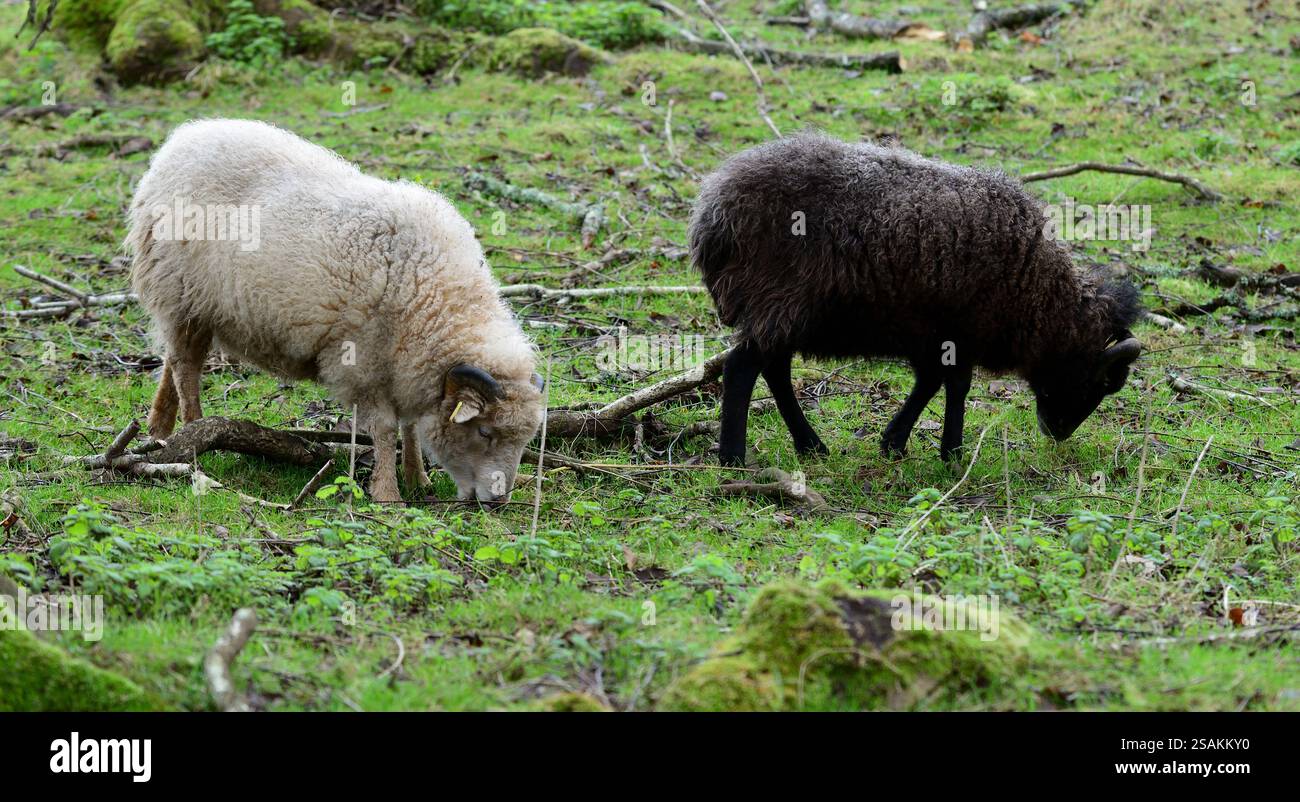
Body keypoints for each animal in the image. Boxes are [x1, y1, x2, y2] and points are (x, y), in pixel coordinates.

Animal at [126, 119, 544, 504]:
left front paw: (418, 478)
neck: (434, 294)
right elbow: (385, 429)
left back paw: (160, 432)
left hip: (193, 305)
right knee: (187, 369)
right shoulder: (364, 363)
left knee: (174, 359)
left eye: (524, 439)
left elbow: (410, 426)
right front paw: (388, 493)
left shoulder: (406, 366)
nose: (499, 499)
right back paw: (198, 431)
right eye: (485, 432)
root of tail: (183, 138)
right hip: (180, 292)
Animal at [688, 132, 1143, 467]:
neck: (1036, 291)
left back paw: (811, 446)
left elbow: (930, 381)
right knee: (743, 367)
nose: (1059, 432)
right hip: (778, 299)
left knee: (775, 370)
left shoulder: (932, 332)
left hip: (786, 310)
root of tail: (712, 212)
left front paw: (894, 442)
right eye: (1097, 379)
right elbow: (956, 385)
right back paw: (733, 458)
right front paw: (952, 452)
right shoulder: (962, 328)